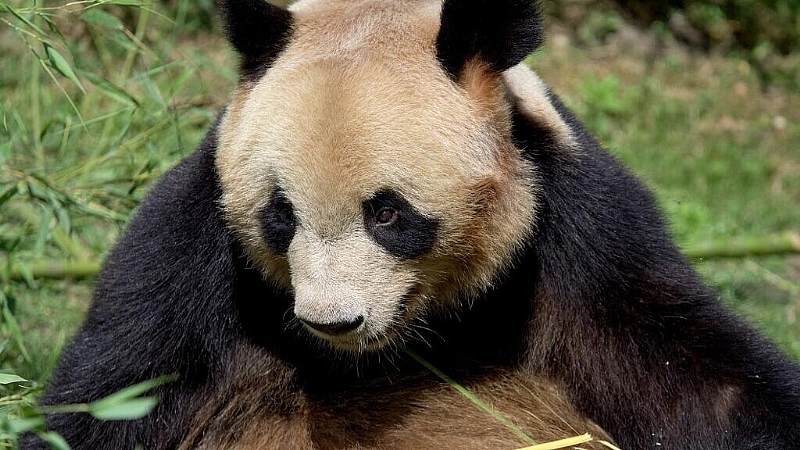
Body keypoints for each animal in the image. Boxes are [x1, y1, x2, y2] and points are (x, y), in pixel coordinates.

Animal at [22, 0, 800, 449]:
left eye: (388, 213)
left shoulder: (579, 237)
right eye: (280, 216)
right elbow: (114, 397)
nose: (332, 321)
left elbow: (700, 384)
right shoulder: (191, 252)